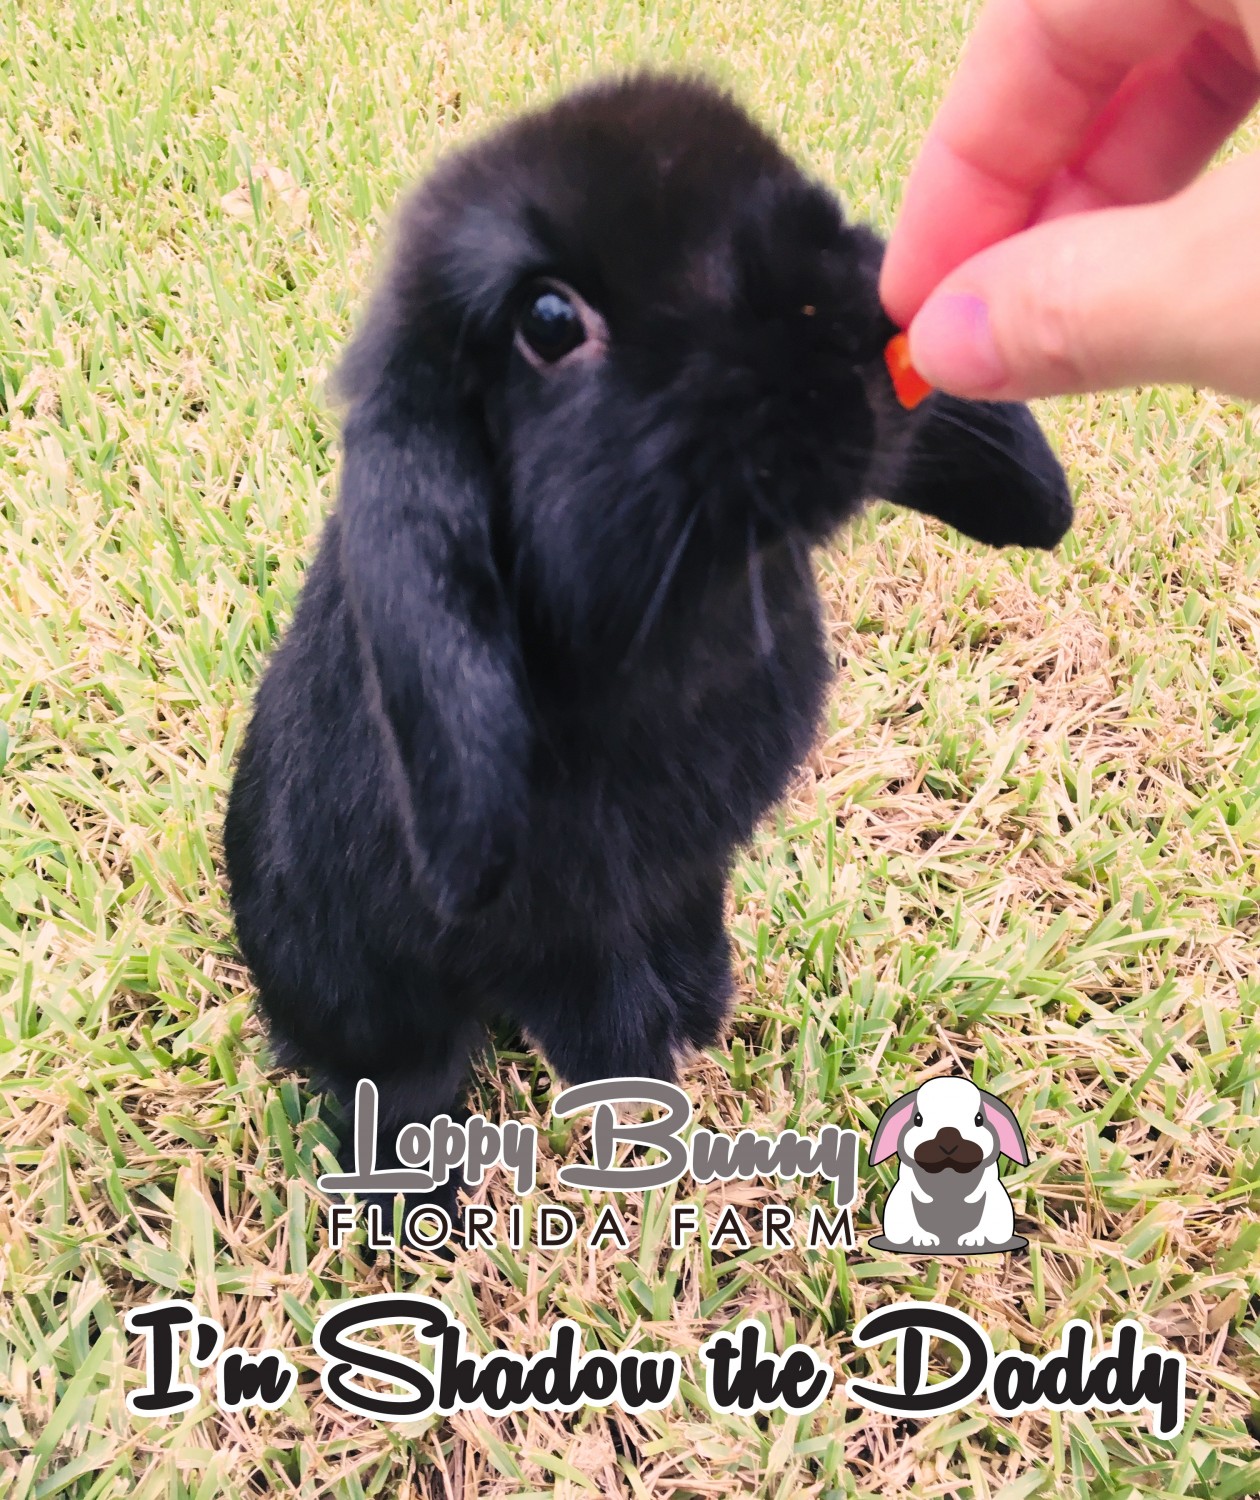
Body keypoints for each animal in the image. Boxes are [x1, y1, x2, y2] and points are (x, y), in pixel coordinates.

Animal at [223, 73, 1072, 1210]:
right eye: (547, 320)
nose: (851, 318)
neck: (687, 625)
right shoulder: (553, 924)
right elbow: (598, 1002)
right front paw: (642, 1075)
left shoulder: (688, 872)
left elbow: (690, 928)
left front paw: (706, 1008)